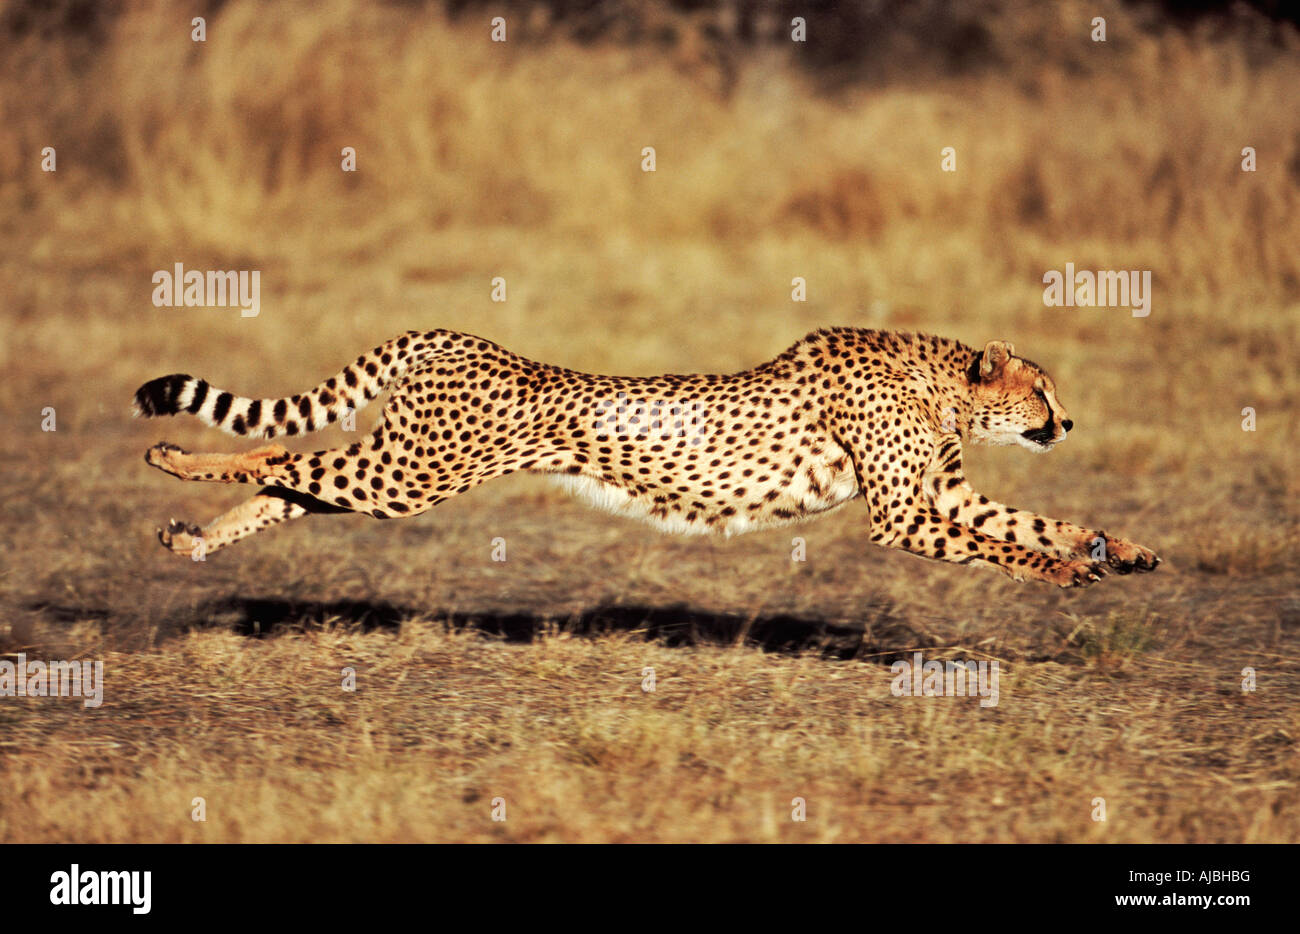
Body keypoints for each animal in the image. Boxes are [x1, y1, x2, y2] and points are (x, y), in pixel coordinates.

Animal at [133, 327, 1160, 587]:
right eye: (1041, 391)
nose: (1068, 423)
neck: (941, 381)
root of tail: (453, 335)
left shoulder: (939, 496)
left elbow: (1033, 520)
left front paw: (1120, 549)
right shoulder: (901, 514)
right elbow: (1004, 544)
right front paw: (1064, 573)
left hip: (398, 472)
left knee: (287, 483)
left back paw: (188, 539)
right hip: (413, 475)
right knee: (273, 451)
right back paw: (173, 458)